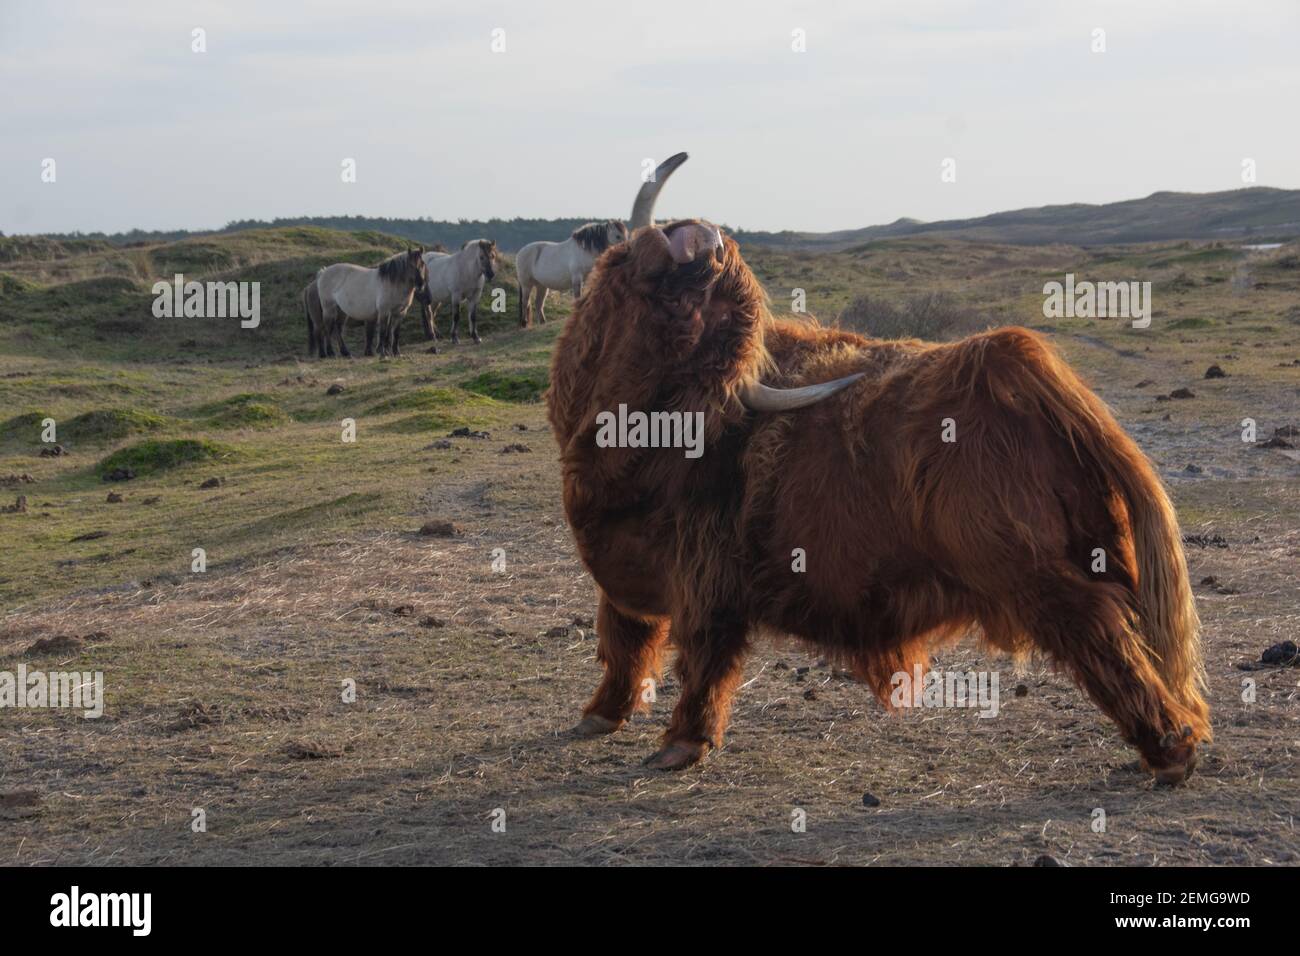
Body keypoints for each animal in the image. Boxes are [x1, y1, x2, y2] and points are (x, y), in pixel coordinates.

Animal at [546, 153, 1209, 784]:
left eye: (708, 307)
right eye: (687, 302)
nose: (707, 239)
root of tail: (1012, 358)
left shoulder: (707, 575)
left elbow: (703, 657)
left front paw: (681, 744)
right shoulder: (628, 570)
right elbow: (625, 636)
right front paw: (600, 713)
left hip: (1026, 564)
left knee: (1096, 626)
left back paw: (1170, 749)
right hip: (1101, 543)